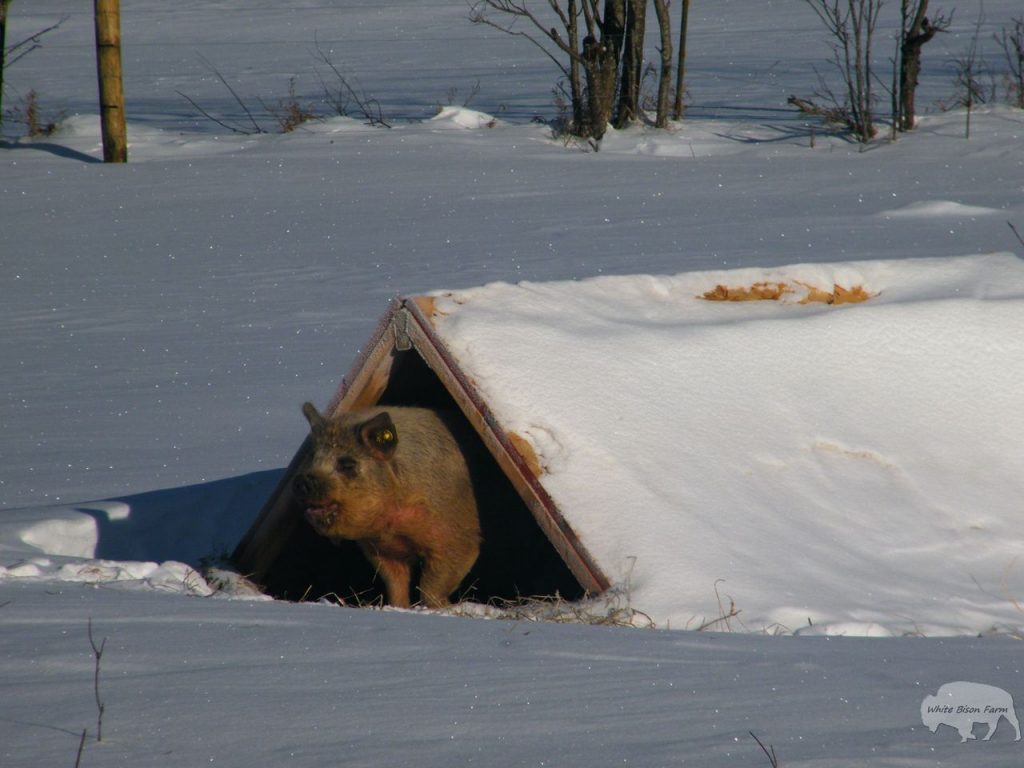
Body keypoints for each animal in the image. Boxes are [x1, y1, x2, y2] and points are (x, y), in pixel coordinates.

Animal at [292, 402, 481, 609]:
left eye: (347, 464)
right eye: (311, 458)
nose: (302, 481)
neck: (392, 526)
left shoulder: (457, 534)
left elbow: (432, 584)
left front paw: (440, 607)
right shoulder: (382, 550)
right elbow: (395, 583)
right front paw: (398, 607)